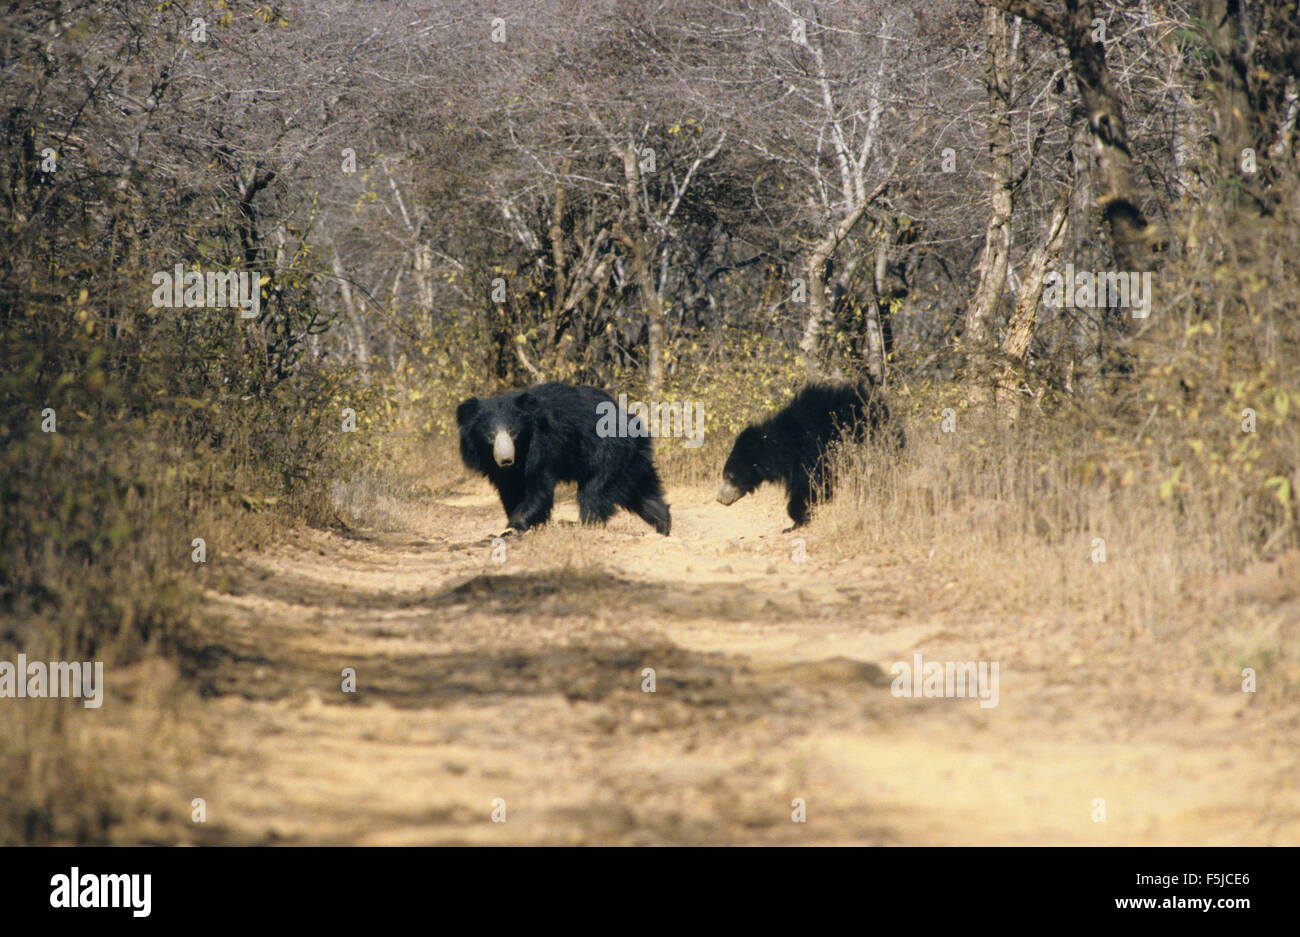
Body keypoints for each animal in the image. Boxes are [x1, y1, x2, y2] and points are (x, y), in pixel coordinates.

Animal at [457, 382, 672, 535]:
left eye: (513, 432)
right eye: (490, 436)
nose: (505, 460)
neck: (522, 449)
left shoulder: (545, 446)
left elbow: (537, 488)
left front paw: (515, 526)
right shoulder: (490, 461)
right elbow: (510, 490)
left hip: (609, 453)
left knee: (594, 492)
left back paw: (588, 524)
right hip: (632, 460)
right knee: (640, 492)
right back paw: (663, 523)